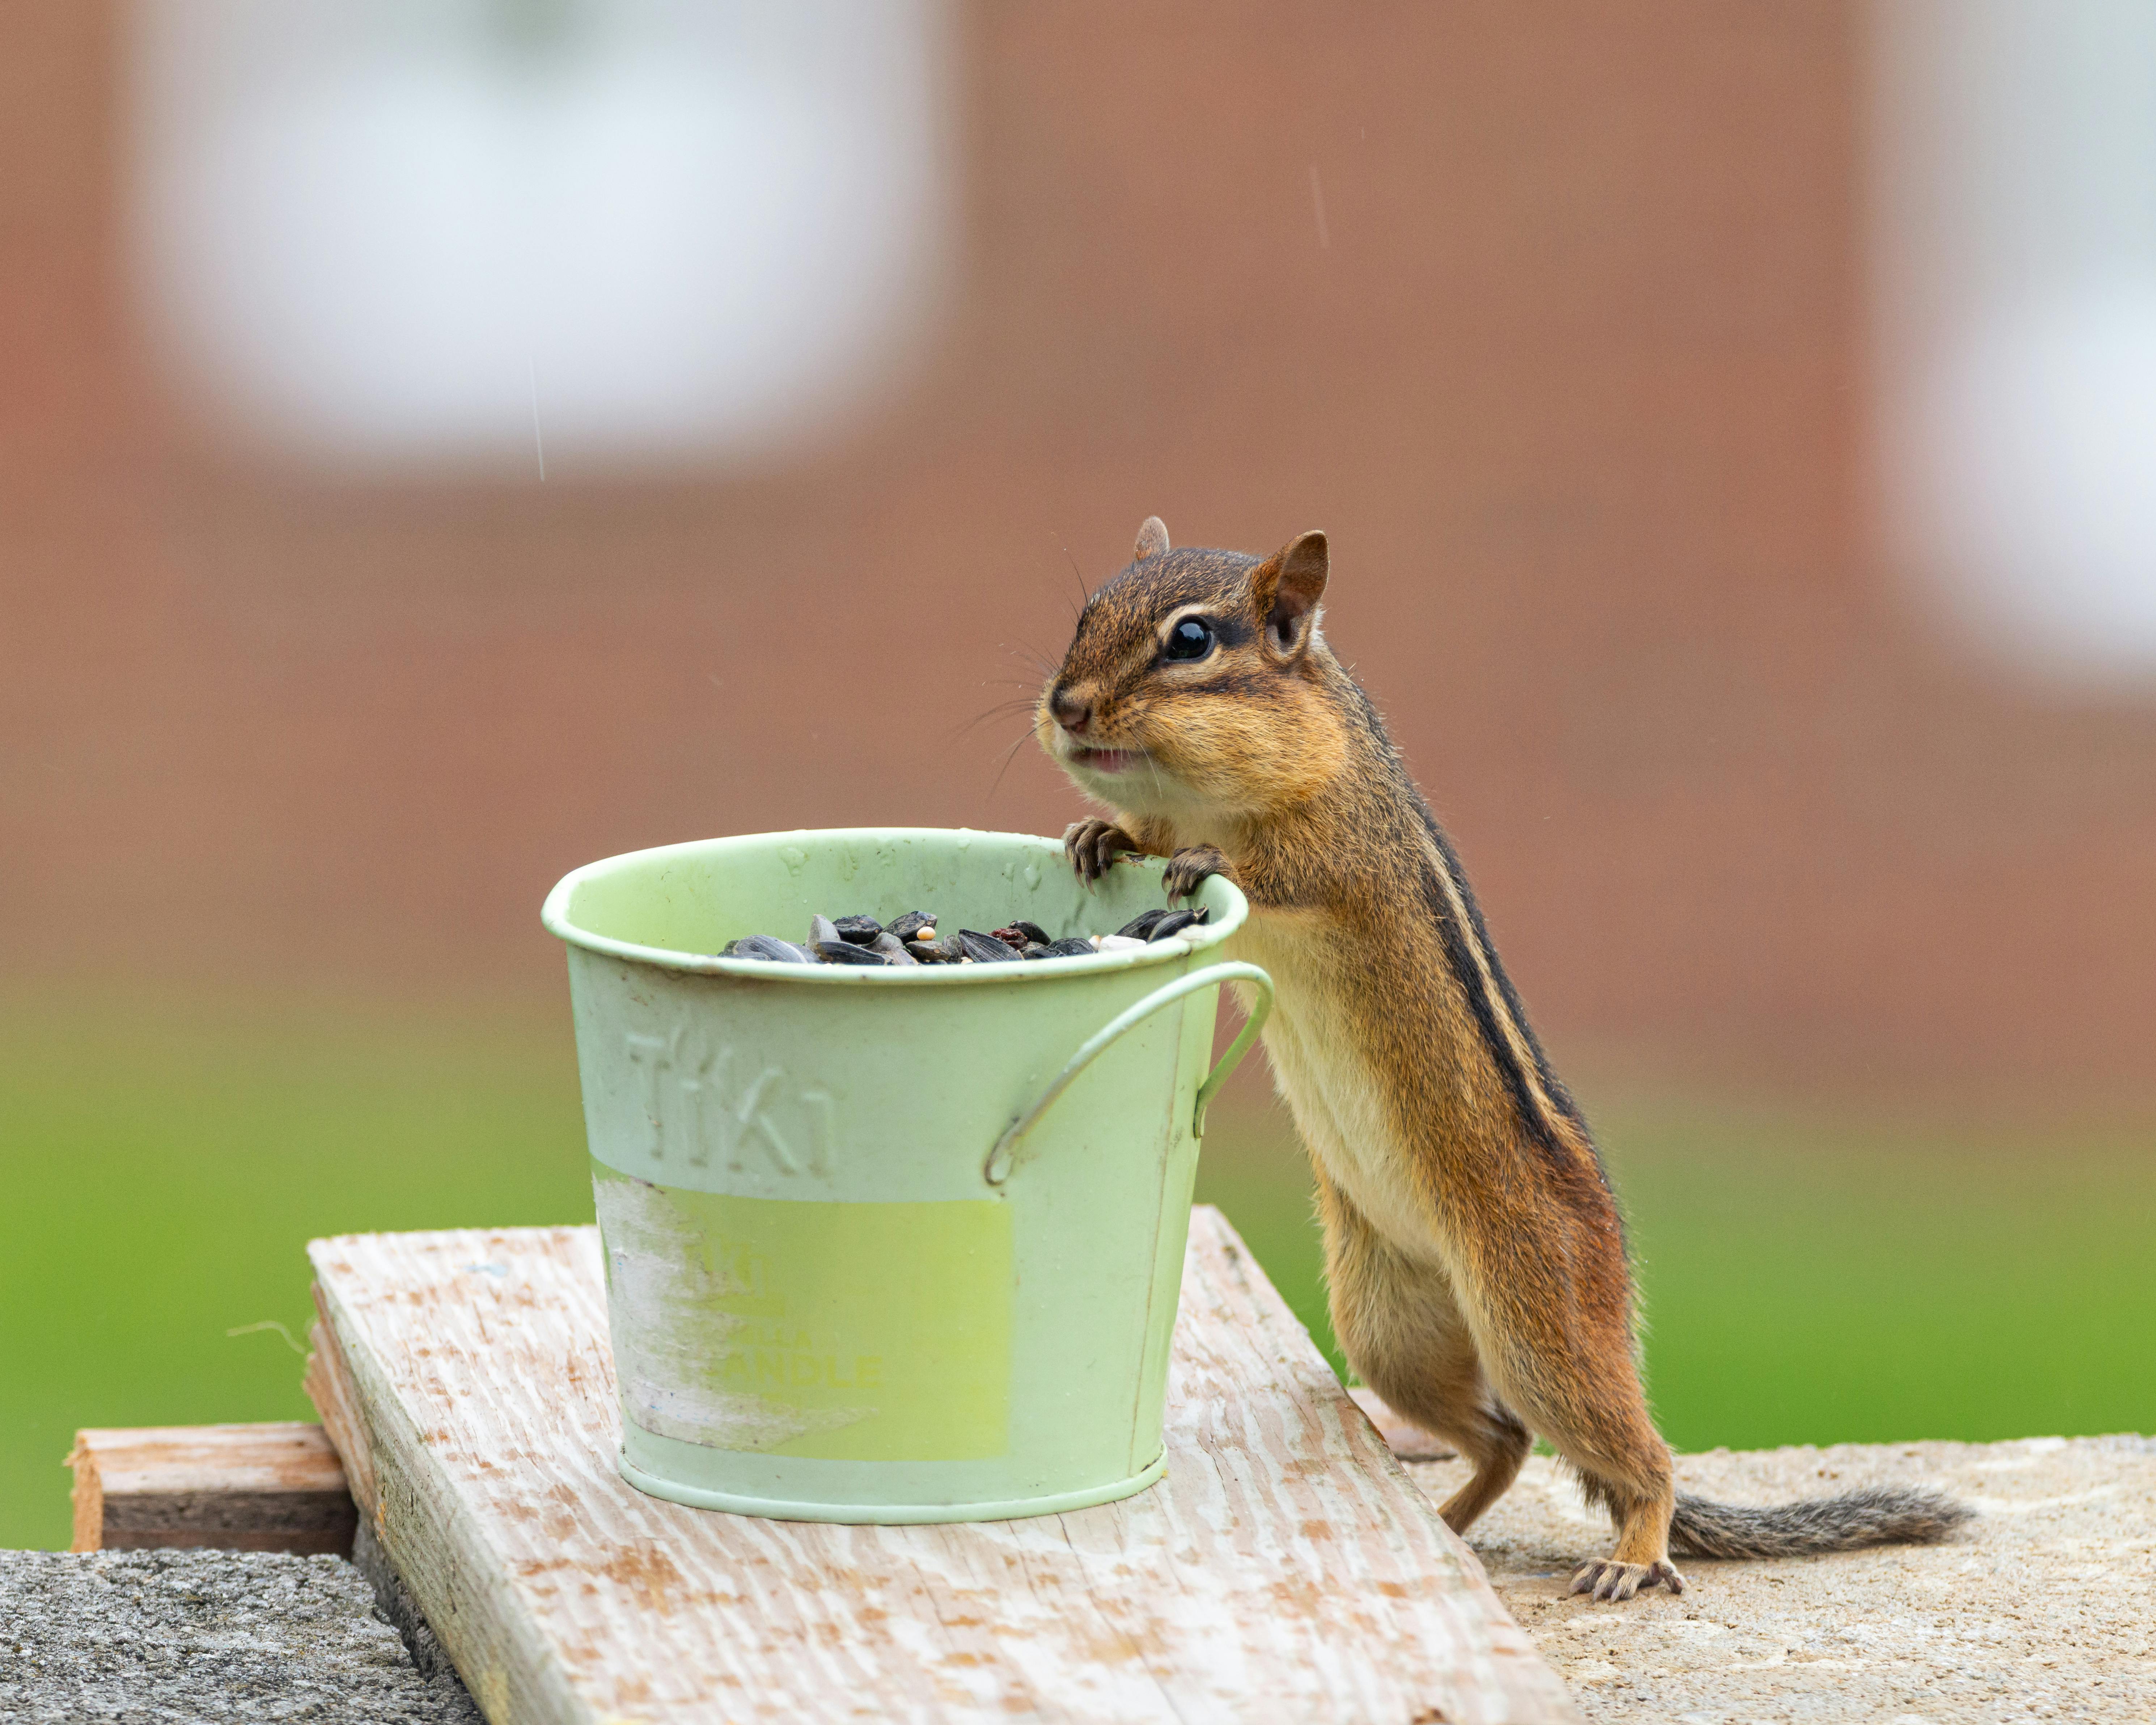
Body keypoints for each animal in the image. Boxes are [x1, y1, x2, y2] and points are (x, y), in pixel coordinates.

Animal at [1036, 516, 1972, 1602]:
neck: (1214, 791)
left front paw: (1205, 861)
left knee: (1630, 1452)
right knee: (1503, 1441)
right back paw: (1444, 1528)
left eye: (1190, 642)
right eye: (1084, 614)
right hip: (1387, 1327)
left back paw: (1630, 1553)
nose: (1064, 706)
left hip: (1537, 1330)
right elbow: (1141, 834)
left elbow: (1280, 870)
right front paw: (1098, 833)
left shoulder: (1347, 850)